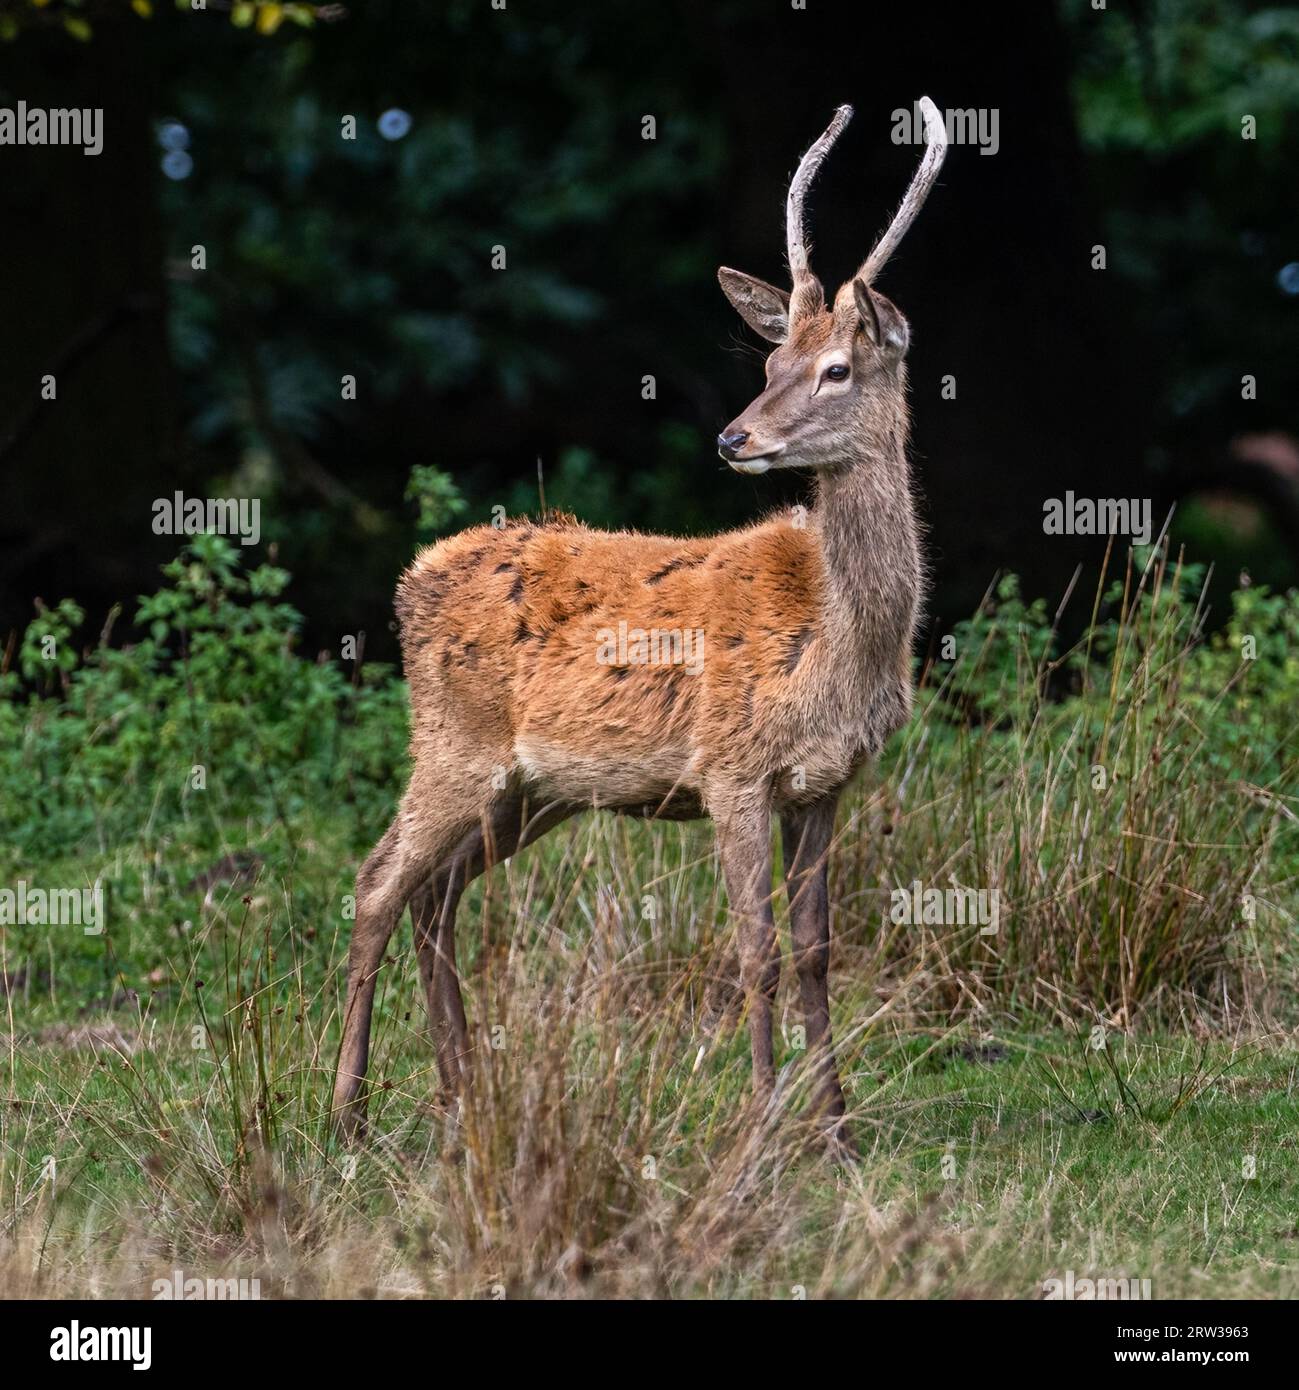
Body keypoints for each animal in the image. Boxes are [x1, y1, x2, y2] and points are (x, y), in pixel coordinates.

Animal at [332, 97, 948, 1151]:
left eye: (833, 369)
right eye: (769, 359)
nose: (734, 436)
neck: (837, 647)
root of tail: (412, 581)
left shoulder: (828, 784)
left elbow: (817, 951)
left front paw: (834, 1130)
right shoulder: (731, 768)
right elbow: (755, 955)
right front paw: (760, 1129)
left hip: (531, 789)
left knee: (436, 897)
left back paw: (463, 1098)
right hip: (452, 744)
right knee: (377, 884)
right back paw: (347, 1113)